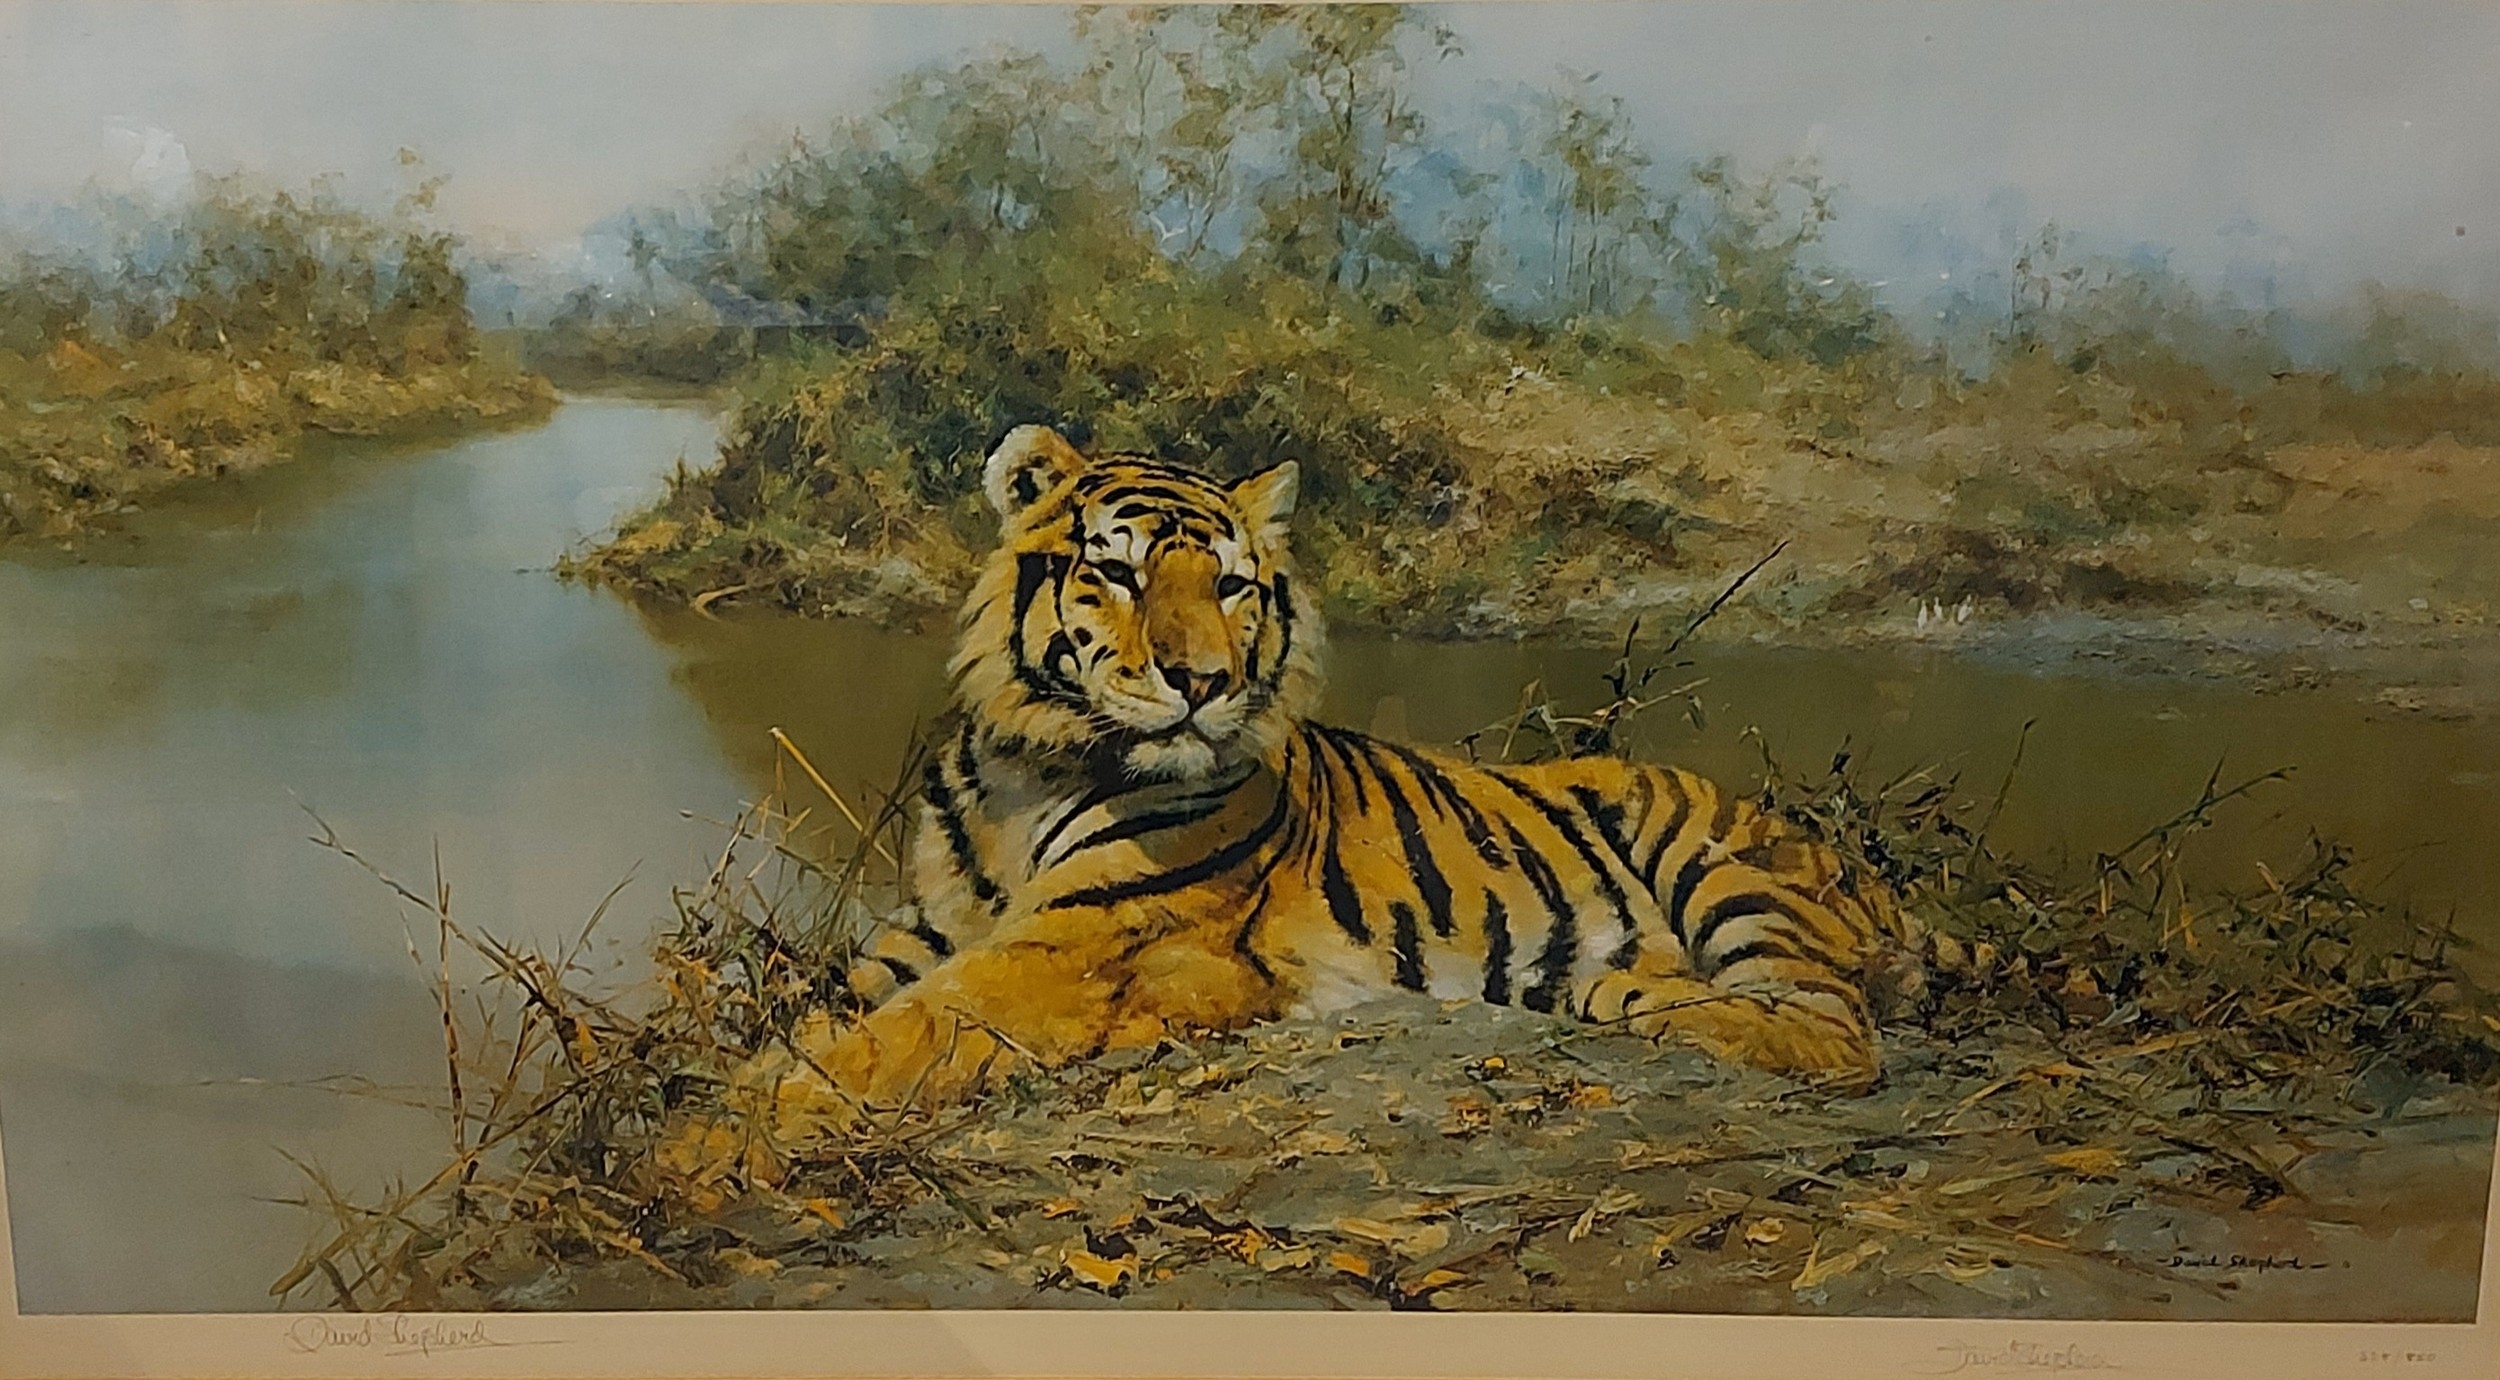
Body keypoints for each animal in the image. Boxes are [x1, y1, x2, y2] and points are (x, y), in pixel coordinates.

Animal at [770, 424, 1916, 1137]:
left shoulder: (1064, 951)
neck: (1031, 764)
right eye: (1120, 571)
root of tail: (1863, 873)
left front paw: (735, 1144)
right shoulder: (928, 925)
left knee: (1835, 1032)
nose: (1202, 681)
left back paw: (1615, 987)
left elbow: (889, 1040)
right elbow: (833, 1001)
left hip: (1718, 863)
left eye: (1232, 586)